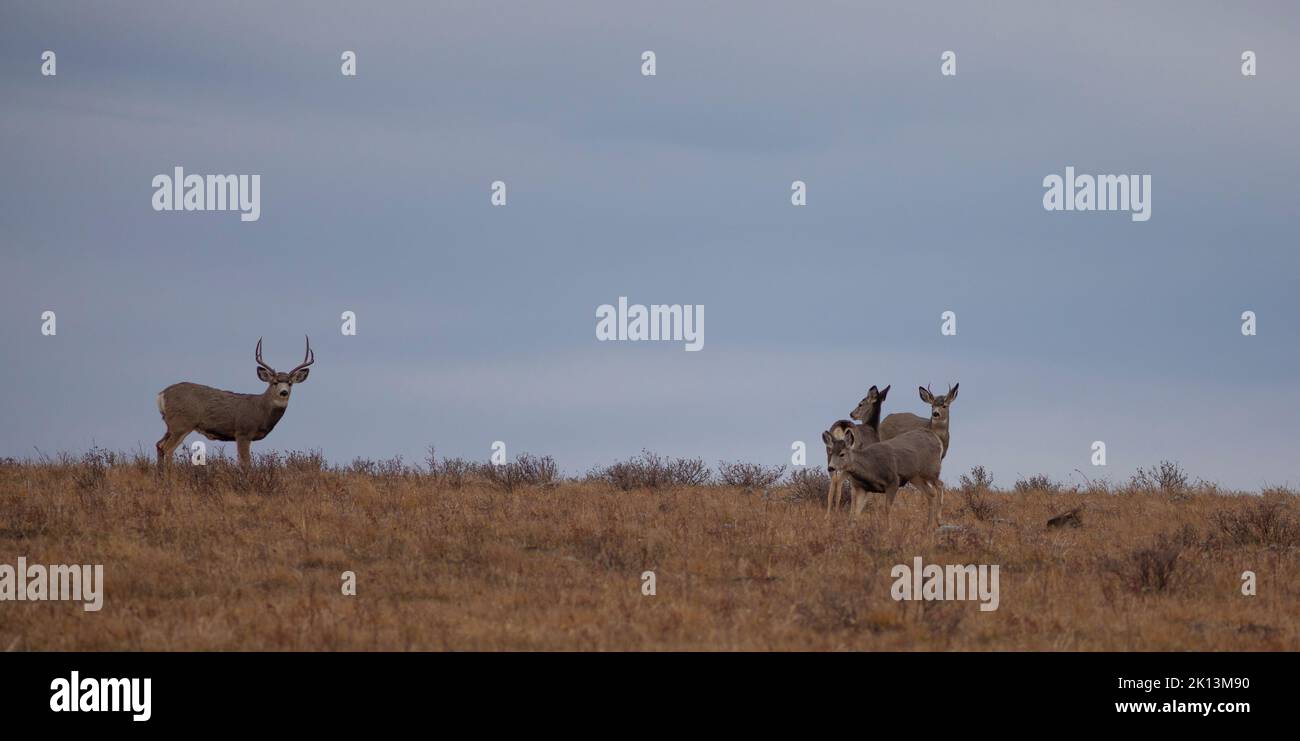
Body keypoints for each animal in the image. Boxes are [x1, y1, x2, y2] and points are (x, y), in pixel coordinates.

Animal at [155, 337, 314, 468]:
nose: (284, 392)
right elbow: (245, 464)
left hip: (171, 424)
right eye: (274, 382)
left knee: (159, 445)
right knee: (167, 449)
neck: (260, 410)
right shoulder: (243, 432)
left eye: (290, 383)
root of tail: (162, 395)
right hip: (182, 423)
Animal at [823, 385, 890, 514]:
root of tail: (843, 426)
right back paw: (837, 512)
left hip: (830, 457)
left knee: (833, 482)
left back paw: (828, 515)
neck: (873, 429)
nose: (852, 414)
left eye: (860, 404)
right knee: (839, 482)